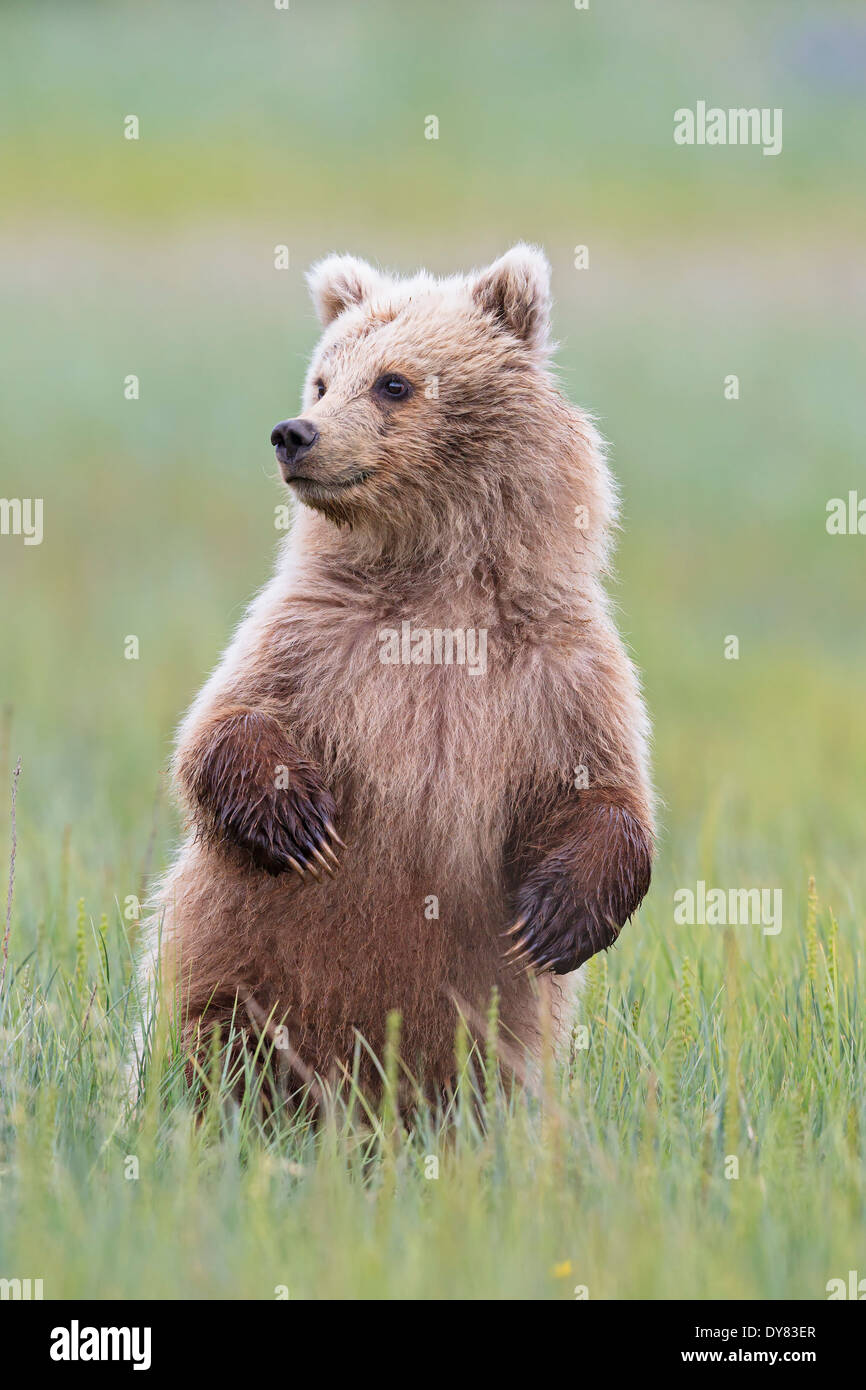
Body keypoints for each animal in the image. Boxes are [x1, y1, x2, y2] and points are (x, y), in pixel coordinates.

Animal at [135, 244, 654, 1102]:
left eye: (394, 382)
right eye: (321, 378)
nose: (294, 434)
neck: (436, 582)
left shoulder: (559, 666)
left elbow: (604, 791)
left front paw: (556, 919)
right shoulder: (313, 637)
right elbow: (219, 726)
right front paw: (299, 821)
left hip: (484, 1050)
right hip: (227, 968)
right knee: (222, 1046)